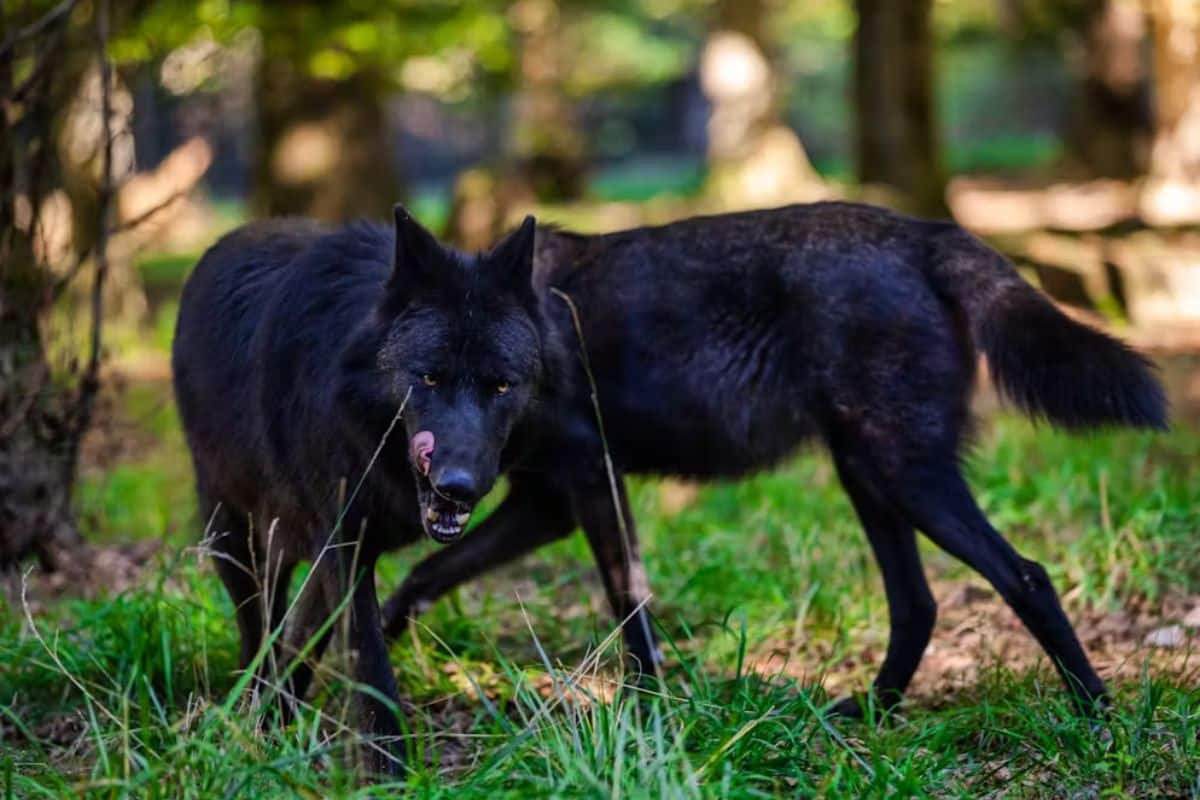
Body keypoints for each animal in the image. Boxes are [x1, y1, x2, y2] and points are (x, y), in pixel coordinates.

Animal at [172, 210, 558, 774]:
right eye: (429, 377)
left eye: (502, 385)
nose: (458, 485)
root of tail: (230, 238)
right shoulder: (344, 545)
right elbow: (371, 665)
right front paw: (390, 773)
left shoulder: (344, 546)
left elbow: (328, 639)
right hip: (231, 532)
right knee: (259, 627)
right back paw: (253, 710)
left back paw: (276, 711)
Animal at [378, 201, 1166, 720]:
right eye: (428, 378)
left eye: (494, 383)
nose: (452, 481)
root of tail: (921, 230)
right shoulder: (546, 506)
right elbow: (421, 576)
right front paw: (362, 659)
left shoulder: (590, 484)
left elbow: (629, 602)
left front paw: (648, 712)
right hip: (868, 477)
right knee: (918, 602)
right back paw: (867, 712)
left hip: (907, 478)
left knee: (1026, 576)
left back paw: (1097, 718)